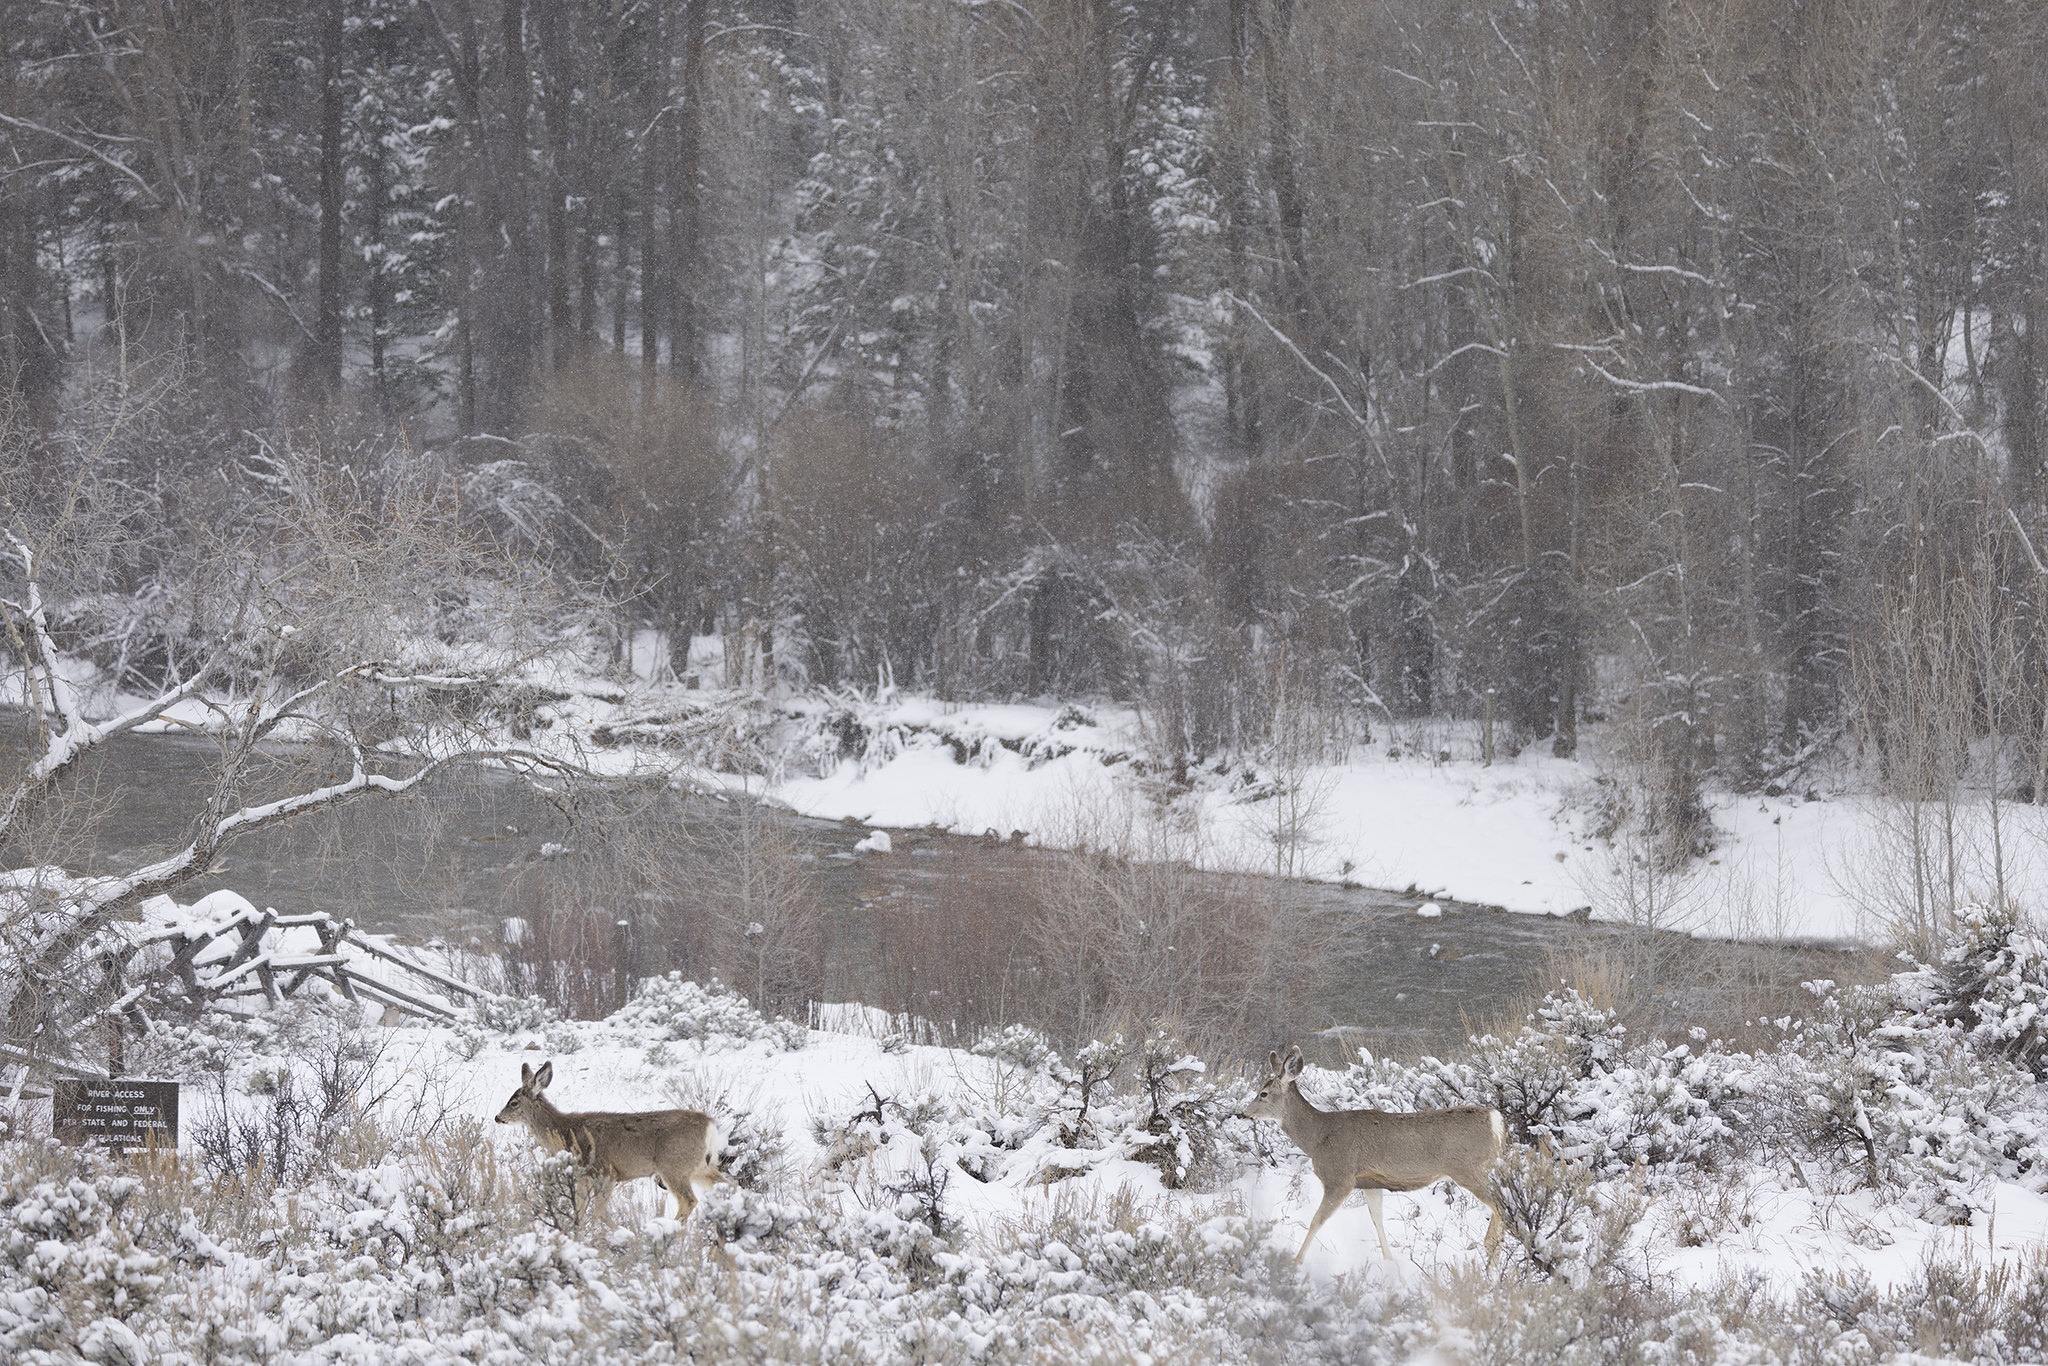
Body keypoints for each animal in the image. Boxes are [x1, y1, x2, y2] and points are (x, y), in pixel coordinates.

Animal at [494, 1061, 729, 1220]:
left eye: (514, 1103)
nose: (498, 1117)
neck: (563, 1131)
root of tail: (709, 1125)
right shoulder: (583, 1177)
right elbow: (579, 1209)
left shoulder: (606, 1172)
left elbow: (599, 1212)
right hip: (701, 1167)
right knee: (729, 1186)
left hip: (673, 1166)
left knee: (689, 1201)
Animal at [1243, 1044, 1507, 1263]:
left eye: (1263, 1093)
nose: (1244, 1113)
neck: (1318, 1138)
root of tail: (1495, 1119)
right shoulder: (1369, 1183)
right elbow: (1377, 1220)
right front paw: (1390, 1264)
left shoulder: (1340, 1178)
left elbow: (1316, 1221)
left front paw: (1296, 1262)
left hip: (1468, 1168)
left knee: (1500, 1205)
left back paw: (1491, 1255)